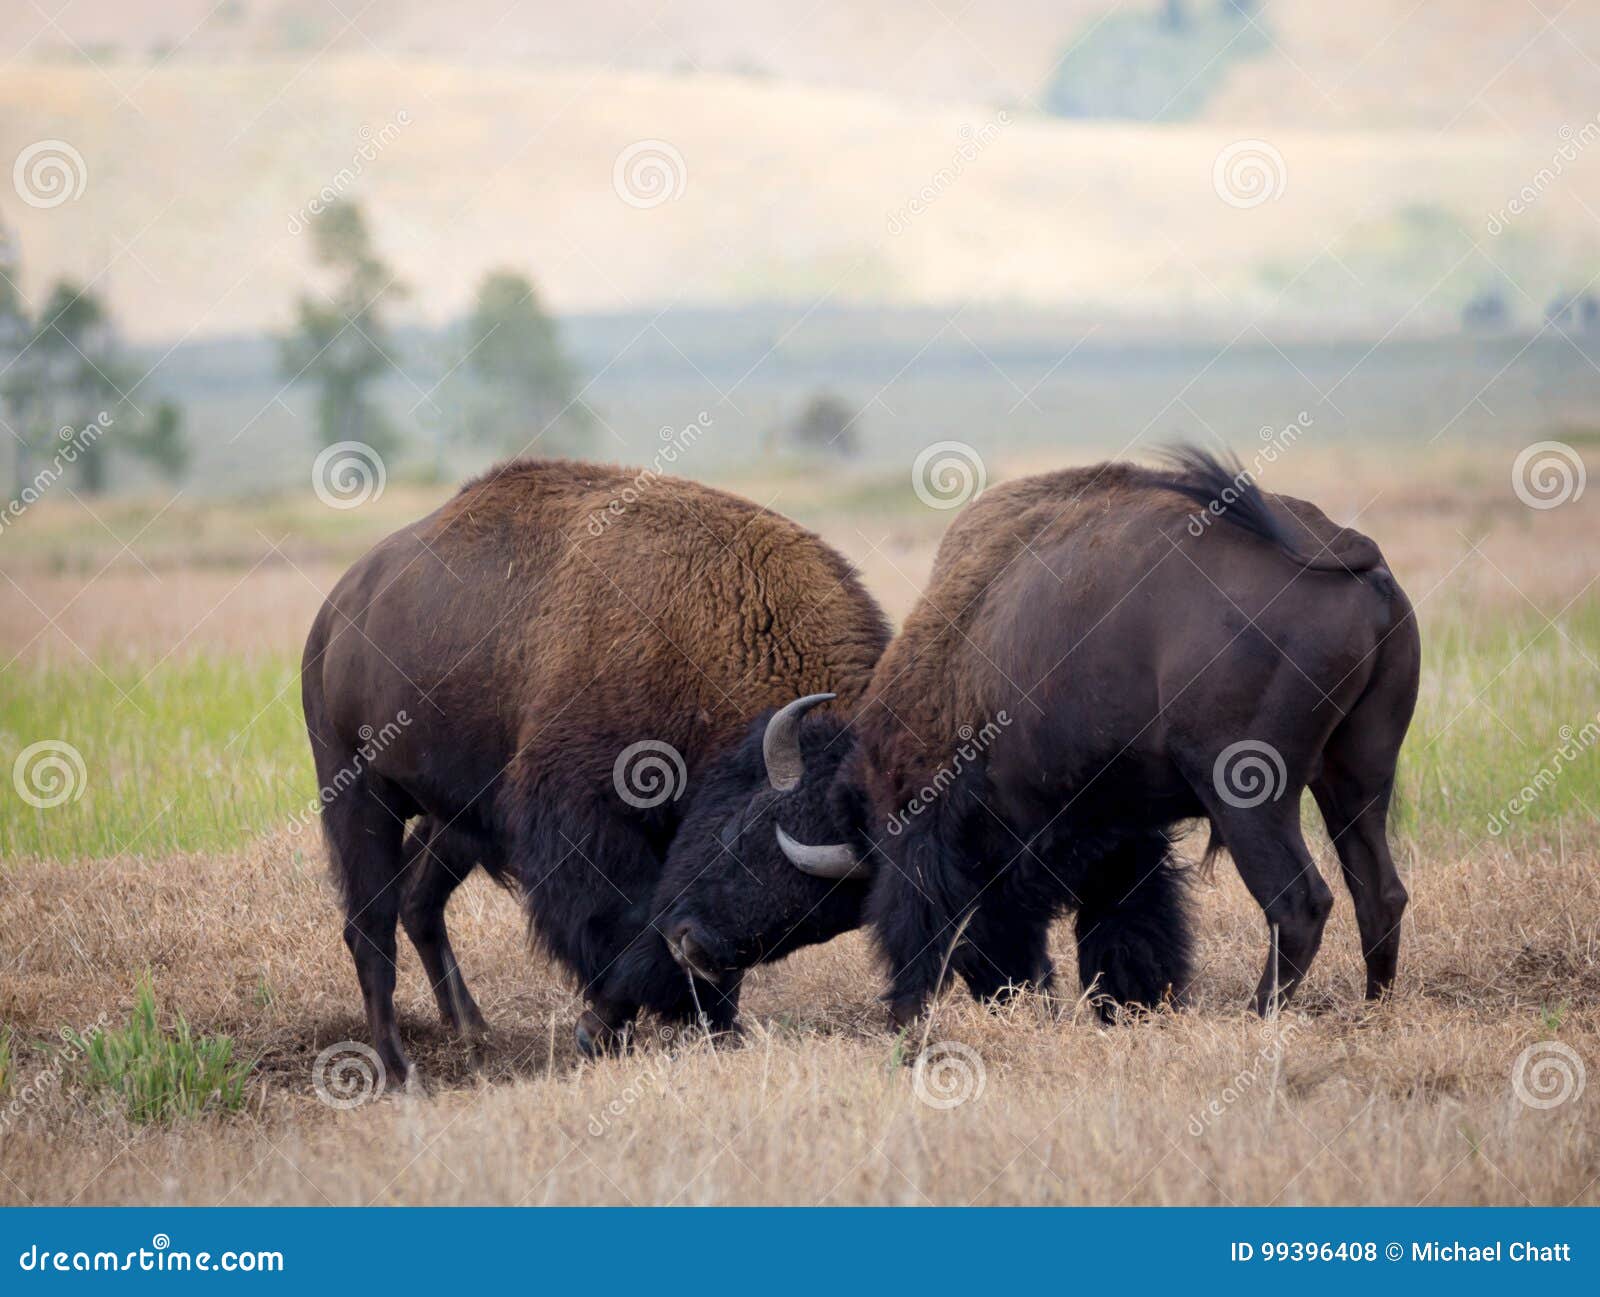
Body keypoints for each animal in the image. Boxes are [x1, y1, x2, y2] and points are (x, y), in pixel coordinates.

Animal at [301, 459, 889, 1080]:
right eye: (747, 840)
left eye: (821, 920)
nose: (697, 949)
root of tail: (334, 617)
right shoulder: (585, 826)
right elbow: (621, 926)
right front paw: (609, 1030)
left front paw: (699, 1027)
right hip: (358, 792)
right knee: (370, 930)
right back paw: (400, 1073)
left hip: (455, 817)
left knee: (417, 901)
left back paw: (472, 1029)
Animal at [624, 448, 1420, 1029]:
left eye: (745, 836)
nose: (681, 938)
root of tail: (1345, 548)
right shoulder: (1117, 834)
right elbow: (1121, 925)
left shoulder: (963, 843)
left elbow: (964, 933)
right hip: (1354, 779)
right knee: (1377, 892)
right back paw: (1373, 1010)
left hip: (1252, 794)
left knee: (1300, 902)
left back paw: (1260, 1018)